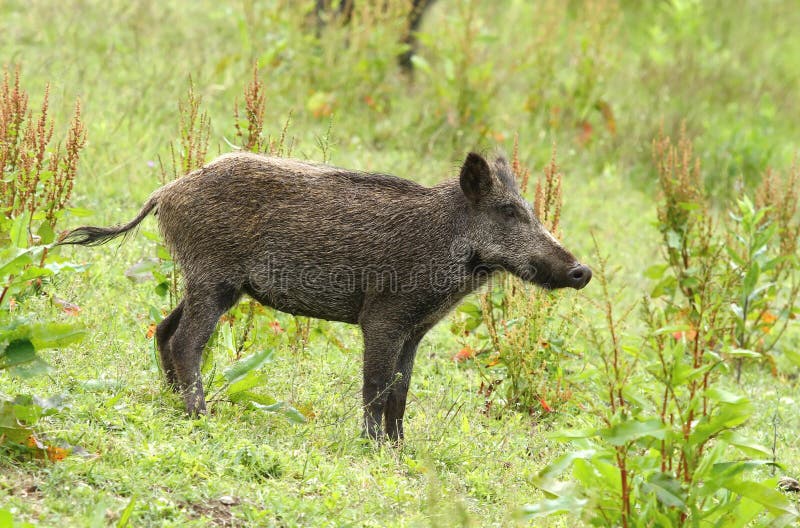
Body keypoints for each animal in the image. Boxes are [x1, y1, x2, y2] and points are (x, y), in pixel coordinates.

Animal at [60, 151, 591, 441]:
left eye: (527, 209)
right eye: (508, 211)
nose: (581, 271)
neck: (450, 245)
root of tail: (165, 192)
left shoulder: (416, 330)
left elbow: (401, 389)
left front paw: (400, 450)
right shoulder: (384, 317)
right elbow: (375, 385)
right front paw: (373, 447)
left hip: (208, 283)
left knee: (164, 330)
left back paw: (175, 402)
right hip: (214, 280)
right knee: (186, 341)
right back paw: (200, 415)